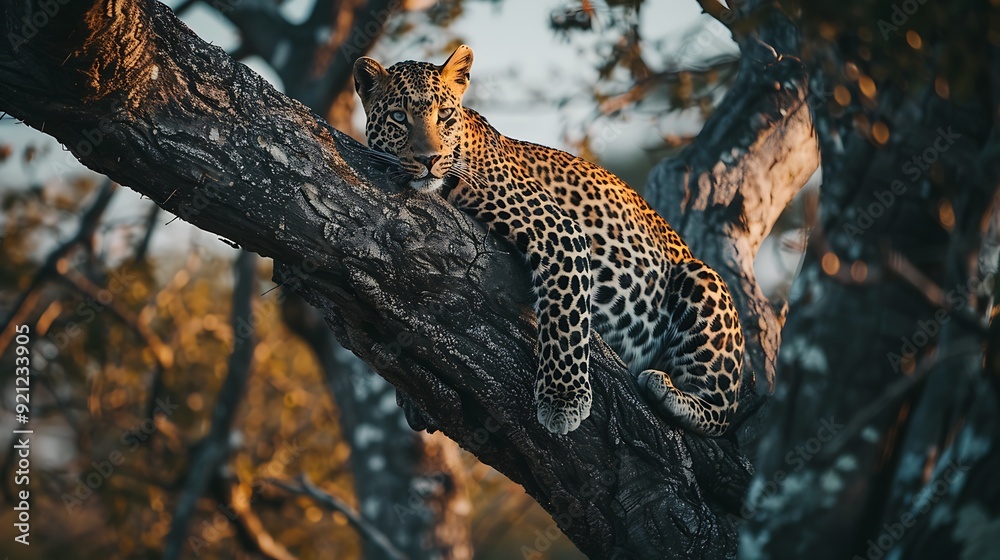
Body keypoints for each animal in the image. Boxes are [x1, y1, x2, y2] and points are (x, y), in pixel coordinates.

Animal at [353, 45, 743, 436]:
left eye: (444, 114)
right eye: (399, 117)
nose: (429, 160)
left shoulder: (559, 230)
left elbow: (565, 318)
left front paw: (563, 400)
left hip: (701, 279)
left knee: (723, 413)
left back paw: (671, 392)